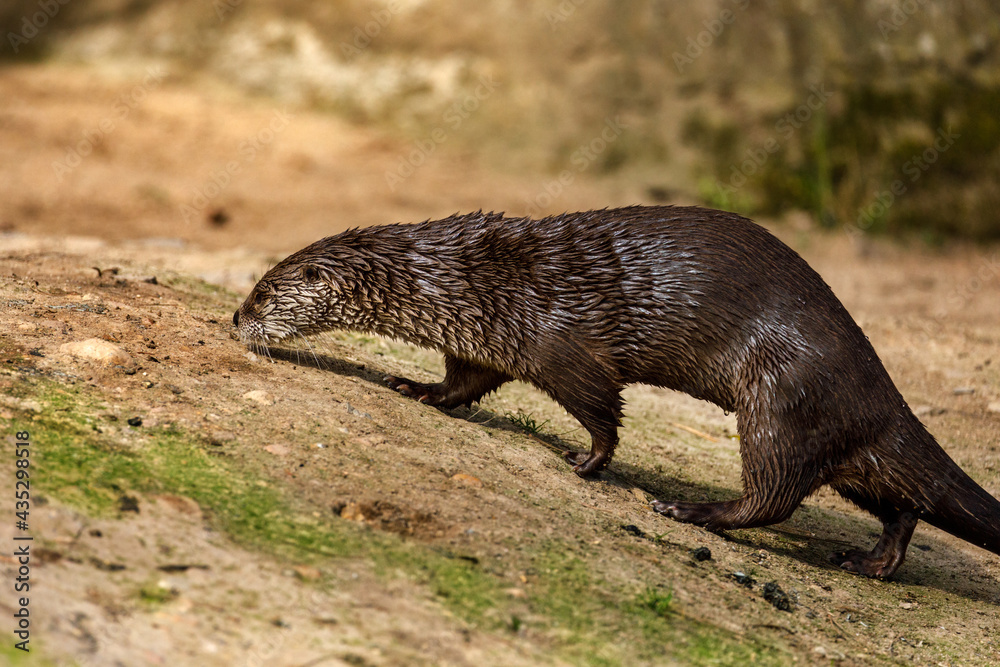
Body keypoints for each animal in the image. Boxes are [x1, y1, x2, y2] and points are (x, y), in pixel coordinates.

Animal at [233, 206, 1000, 579]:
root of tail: (880, 385)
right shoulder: (486, 336)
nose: (235, 319)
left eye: (263, 291)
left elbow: (602, 408)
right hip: (844, 440)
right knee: (897, 501)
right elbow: (464, 381)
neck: (462, 282)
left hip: (781, 394)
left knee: (775, 493)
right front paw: (417, 387)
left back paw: (691, 510)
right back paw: (871, 561)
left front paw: (589, 462)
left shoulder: (556, 342)